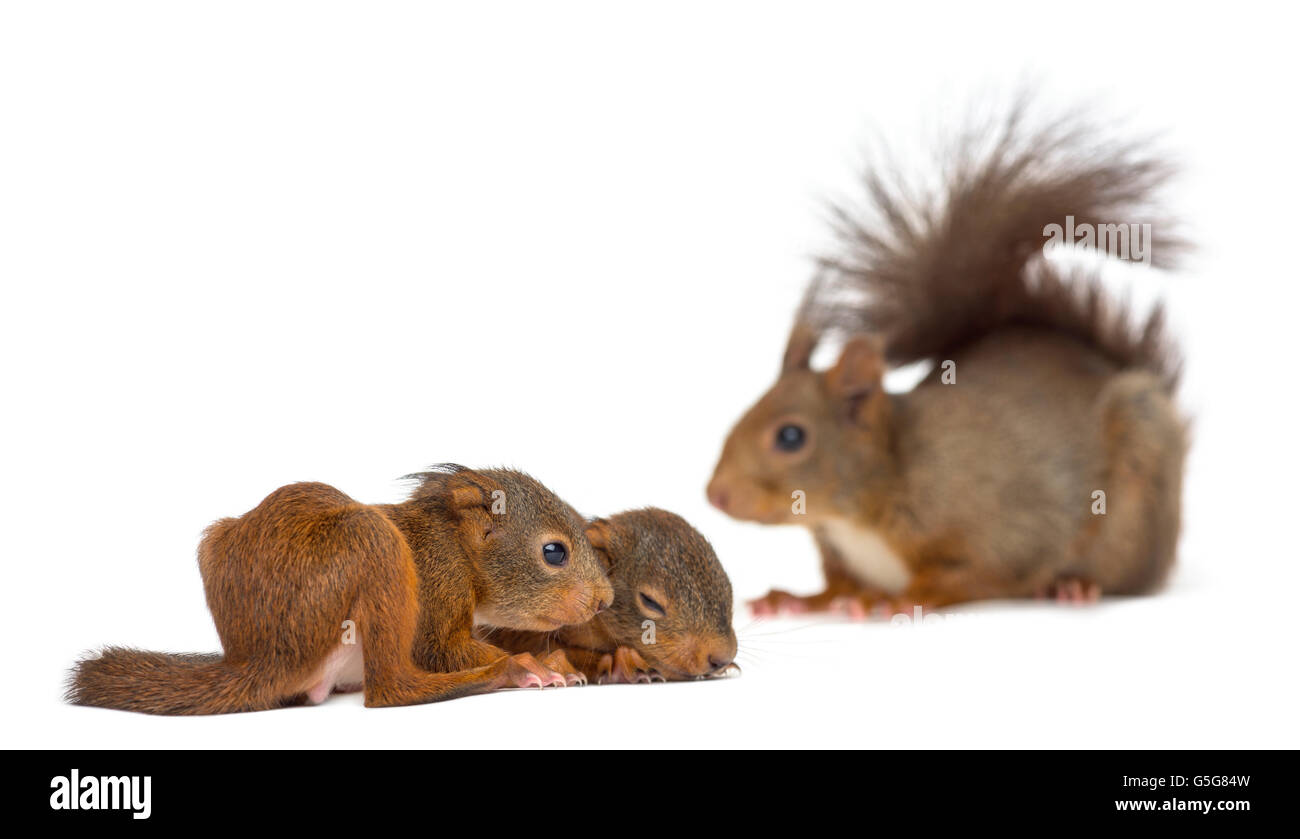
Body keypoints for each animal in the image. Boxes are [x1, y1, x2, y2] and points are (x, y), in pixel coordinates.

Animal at [68, 465, 614, 713]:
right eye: (554, 553)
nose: (605, 599)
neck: (456, 545)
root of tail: (266, 653)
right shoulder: (440, 580)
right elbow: (439, 648)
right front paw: (537, 663)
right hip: (370, 544)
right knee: (389, 690)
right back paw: (503, 673)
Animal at [707, 105, 1189, 616]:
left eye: (791, 436)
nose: (714, 495)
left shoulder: (999, 530)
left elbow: (968, 574)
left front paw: (897, 601)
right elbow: (837, 586)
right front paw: (795, 600)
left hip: (1137, 490)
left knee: (1130, 573)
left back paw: (1074, 585)